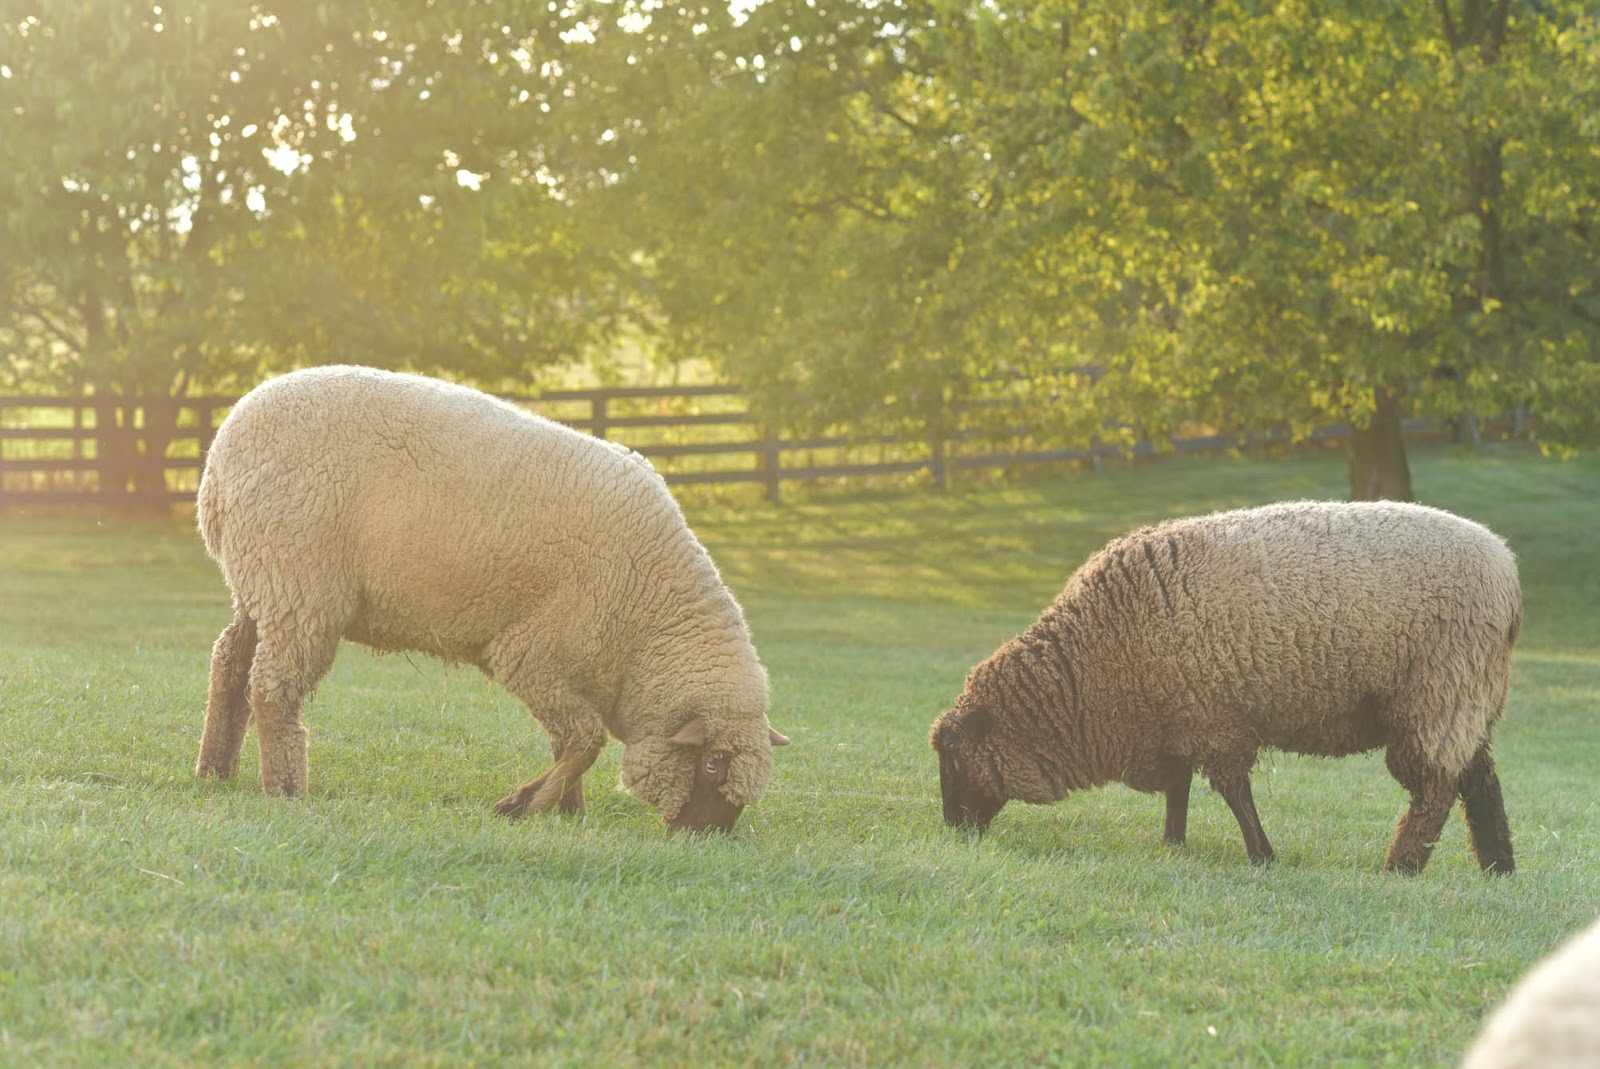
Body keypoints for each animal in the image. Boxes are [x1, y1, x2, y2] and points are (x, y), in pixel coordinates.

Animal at [194, 364, 789, 832]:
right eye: (712, 764)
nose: (704, 837)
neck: (647, 631)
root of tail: (221, 453)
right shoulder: (531, 656)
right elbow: (585, 743)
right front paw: (526, 805)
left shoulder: (570, 673)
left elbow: (568, 742)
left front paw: (567, 812)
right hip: (299, 582)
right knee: (273, 686)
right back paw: (284, 789)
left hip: (263, 581)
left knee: (230, 663)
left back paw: (214, 772)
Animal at [929, 500, 1521, 874]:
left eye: (954, 759)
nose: (952, 830)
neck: (1095, 664)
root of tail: (1507, 573)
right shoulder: (1179, 719)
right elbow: (1179, 787)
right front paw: (1173, 843)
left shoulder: (1214, 719)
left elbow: (1233, 791)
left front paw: (1262, 856)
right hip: (1469, 695)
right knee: (1479, 778)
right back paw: (1499, 867)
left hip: (1439, 690)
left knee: (1435, 789)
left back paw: (1402, 867)